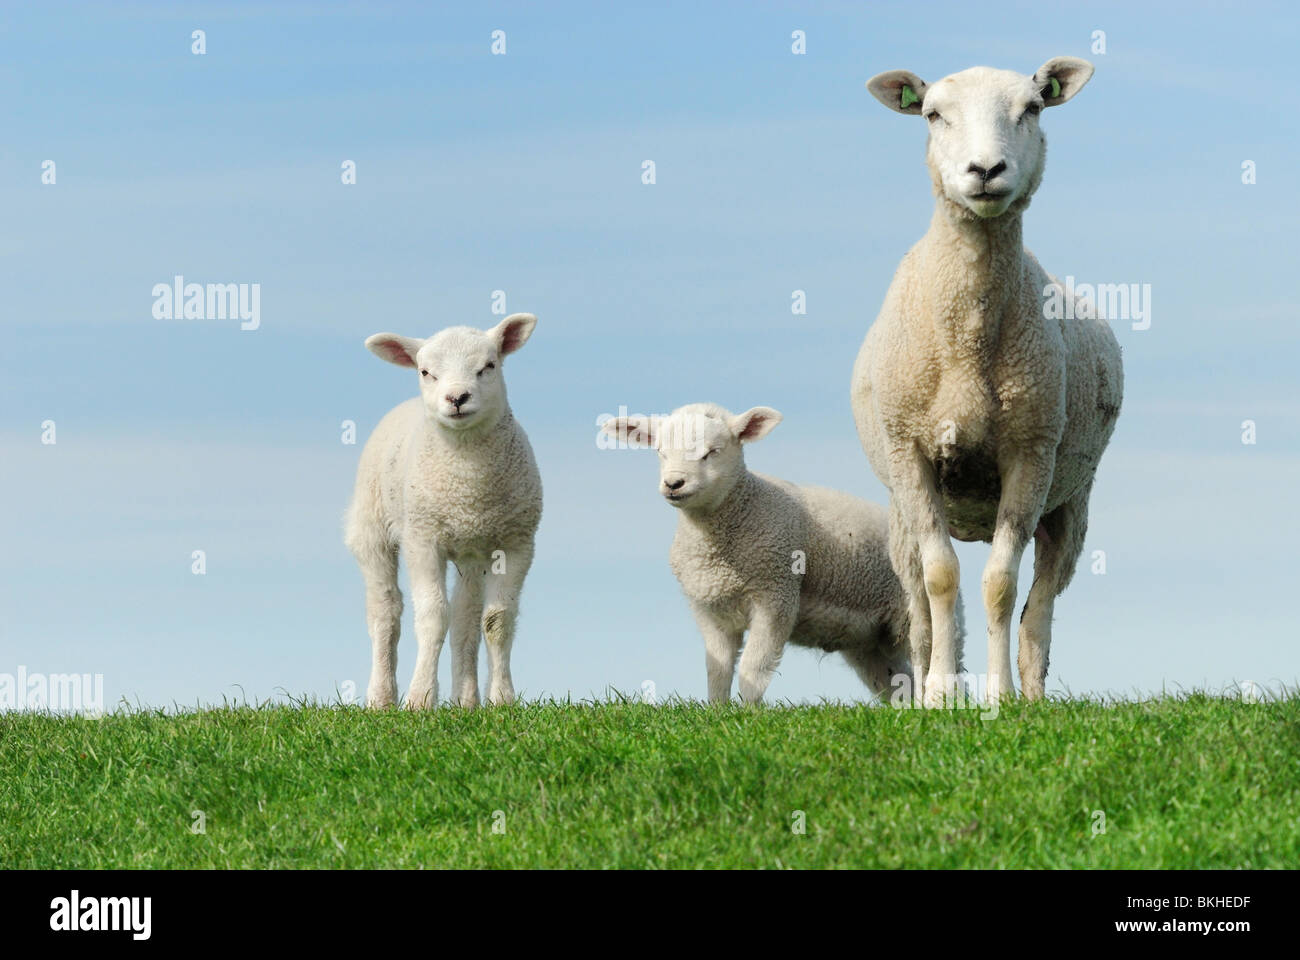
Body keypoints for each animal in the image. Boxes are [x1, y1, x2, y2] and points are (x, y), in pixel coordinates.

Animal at [344, 314, 542, 709]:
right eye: (425, 372)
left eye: (488, 365)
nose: (456, 398)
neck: (468, 485)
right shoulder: (423, 540)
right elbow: (433, 618)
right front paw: (420, 699)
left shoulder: (516, 543)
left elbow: (496, 621)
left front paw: (503, 699)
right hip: (372, 530)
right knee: (385, 612)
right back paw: (381, 698)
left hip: (471, 551)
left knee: (465, 616)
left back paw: (465, 700)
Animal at [603, 403, 963, 703]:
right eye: (660, 452)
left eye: (712, 452)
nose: (674, 484)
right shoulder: (710, 609)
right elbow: (717, 672)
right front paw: (717, 714)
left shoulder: (776, 595)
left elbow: (752, 667)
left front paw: (748, 715)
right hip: (870, 644)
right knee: (898, 682)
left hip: (923, 615)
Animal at [852, 57, 1123, 706]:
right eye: (932, 114)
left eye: (1033, 107)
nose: (985, 170)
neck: (966, 346)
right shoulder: (910, 453)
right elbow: (940, 578)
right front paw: (942, 695)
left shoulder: (1030, 453)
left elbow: (1001, 583)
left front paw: (997, 697)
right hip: (898, 517)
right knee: (919, 607)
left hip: (1072, 502)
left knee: (1041, 607)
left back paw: (1033, 696)